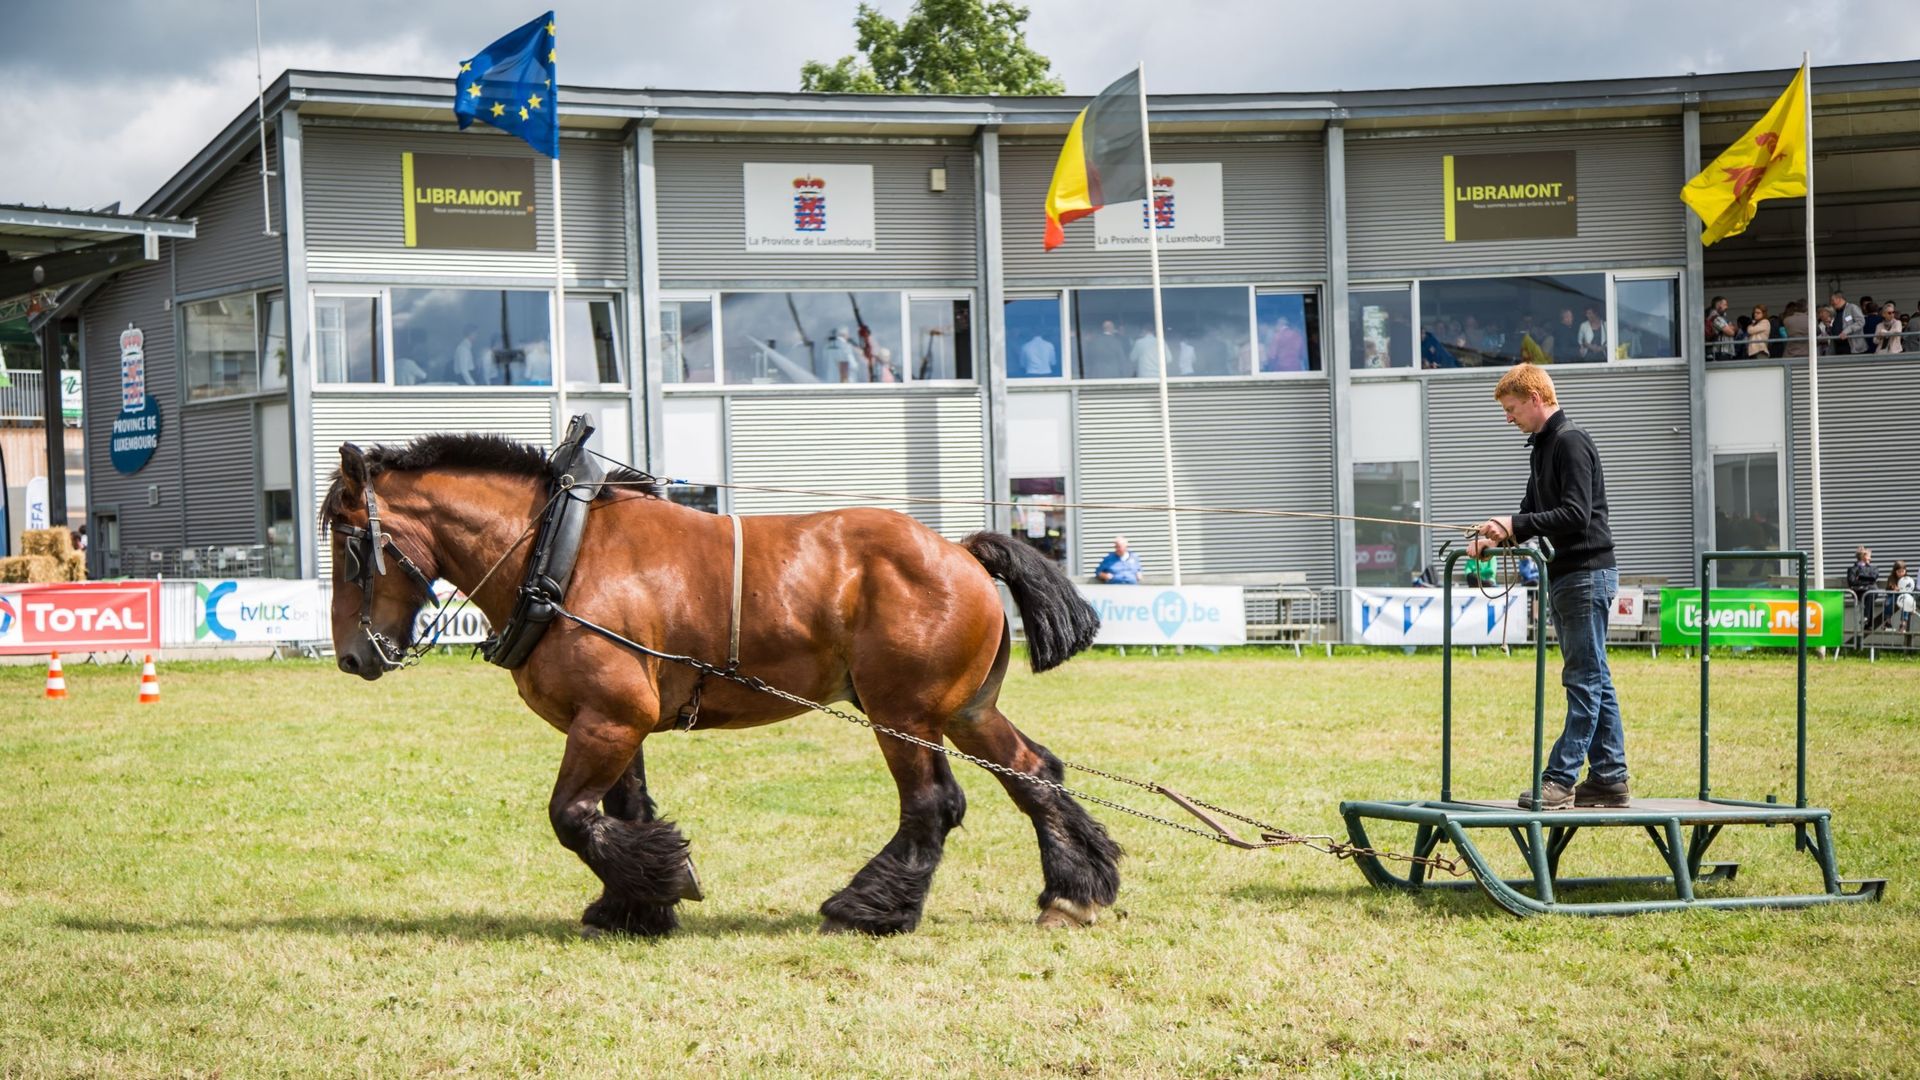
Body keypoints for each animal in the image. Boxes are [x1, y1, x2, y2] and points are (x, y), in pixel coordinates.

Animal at [322, 433, 1120, 937]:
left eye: (349, 537)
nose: (353, 657)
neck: (560, 552)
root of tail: (959, 551)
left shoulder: (611, 716)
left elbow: (571, 817)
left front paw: (666, 880)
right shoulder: (616, 720)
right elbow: (625, 808)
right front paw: (635, 906)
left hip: (903, 713)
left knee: (934, 805)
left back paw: (870, 908)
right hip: (964, 710)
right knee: (1035, 773)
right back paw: (1073, 891)